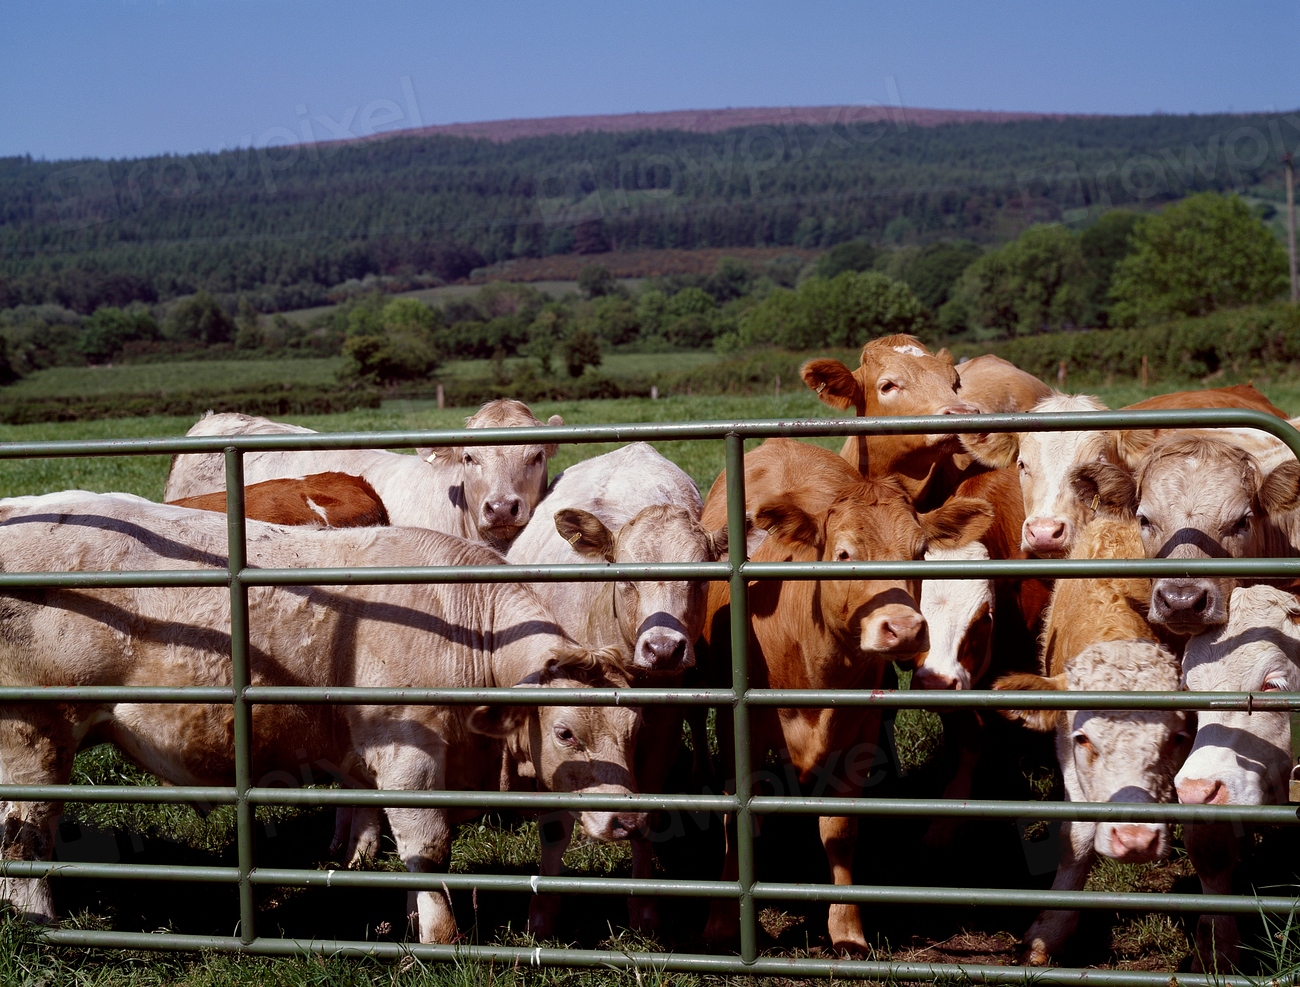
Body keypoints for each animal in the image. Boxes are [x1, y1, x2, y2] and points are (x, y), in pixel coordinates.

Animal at [0, 491, 643, 944]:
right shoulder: (408, 754)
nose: (627, 821)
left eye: (632, 733)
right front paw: (442, 939)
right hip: (34, 733)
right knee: (25, 835)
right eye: (564, 731)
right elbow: (427, 846)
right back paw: (35, 922)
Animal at [505, 442, 728, 935]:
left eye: (700, 577)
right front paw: (543, 915)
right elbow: (554, 827)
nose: (663, 648)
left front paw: (643, 908)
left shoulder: (660, 728)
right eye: (626, 576)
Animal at [697, 438, 994, 952]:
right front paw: (720, 922)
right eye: (843, 553)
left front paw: (847, 927)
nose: (905, 629)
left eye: (920, 552)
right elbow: (737, 816)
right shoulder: (739, 730)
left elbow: (839, 829)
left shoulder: (858, 736)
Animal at [995, 517, 1193, 965]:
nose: (1136, 840)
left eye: (1177, 737)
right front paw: (1047, 934)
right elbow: (1078, 837)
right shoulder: (1065, 752)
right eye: (1084, 739)